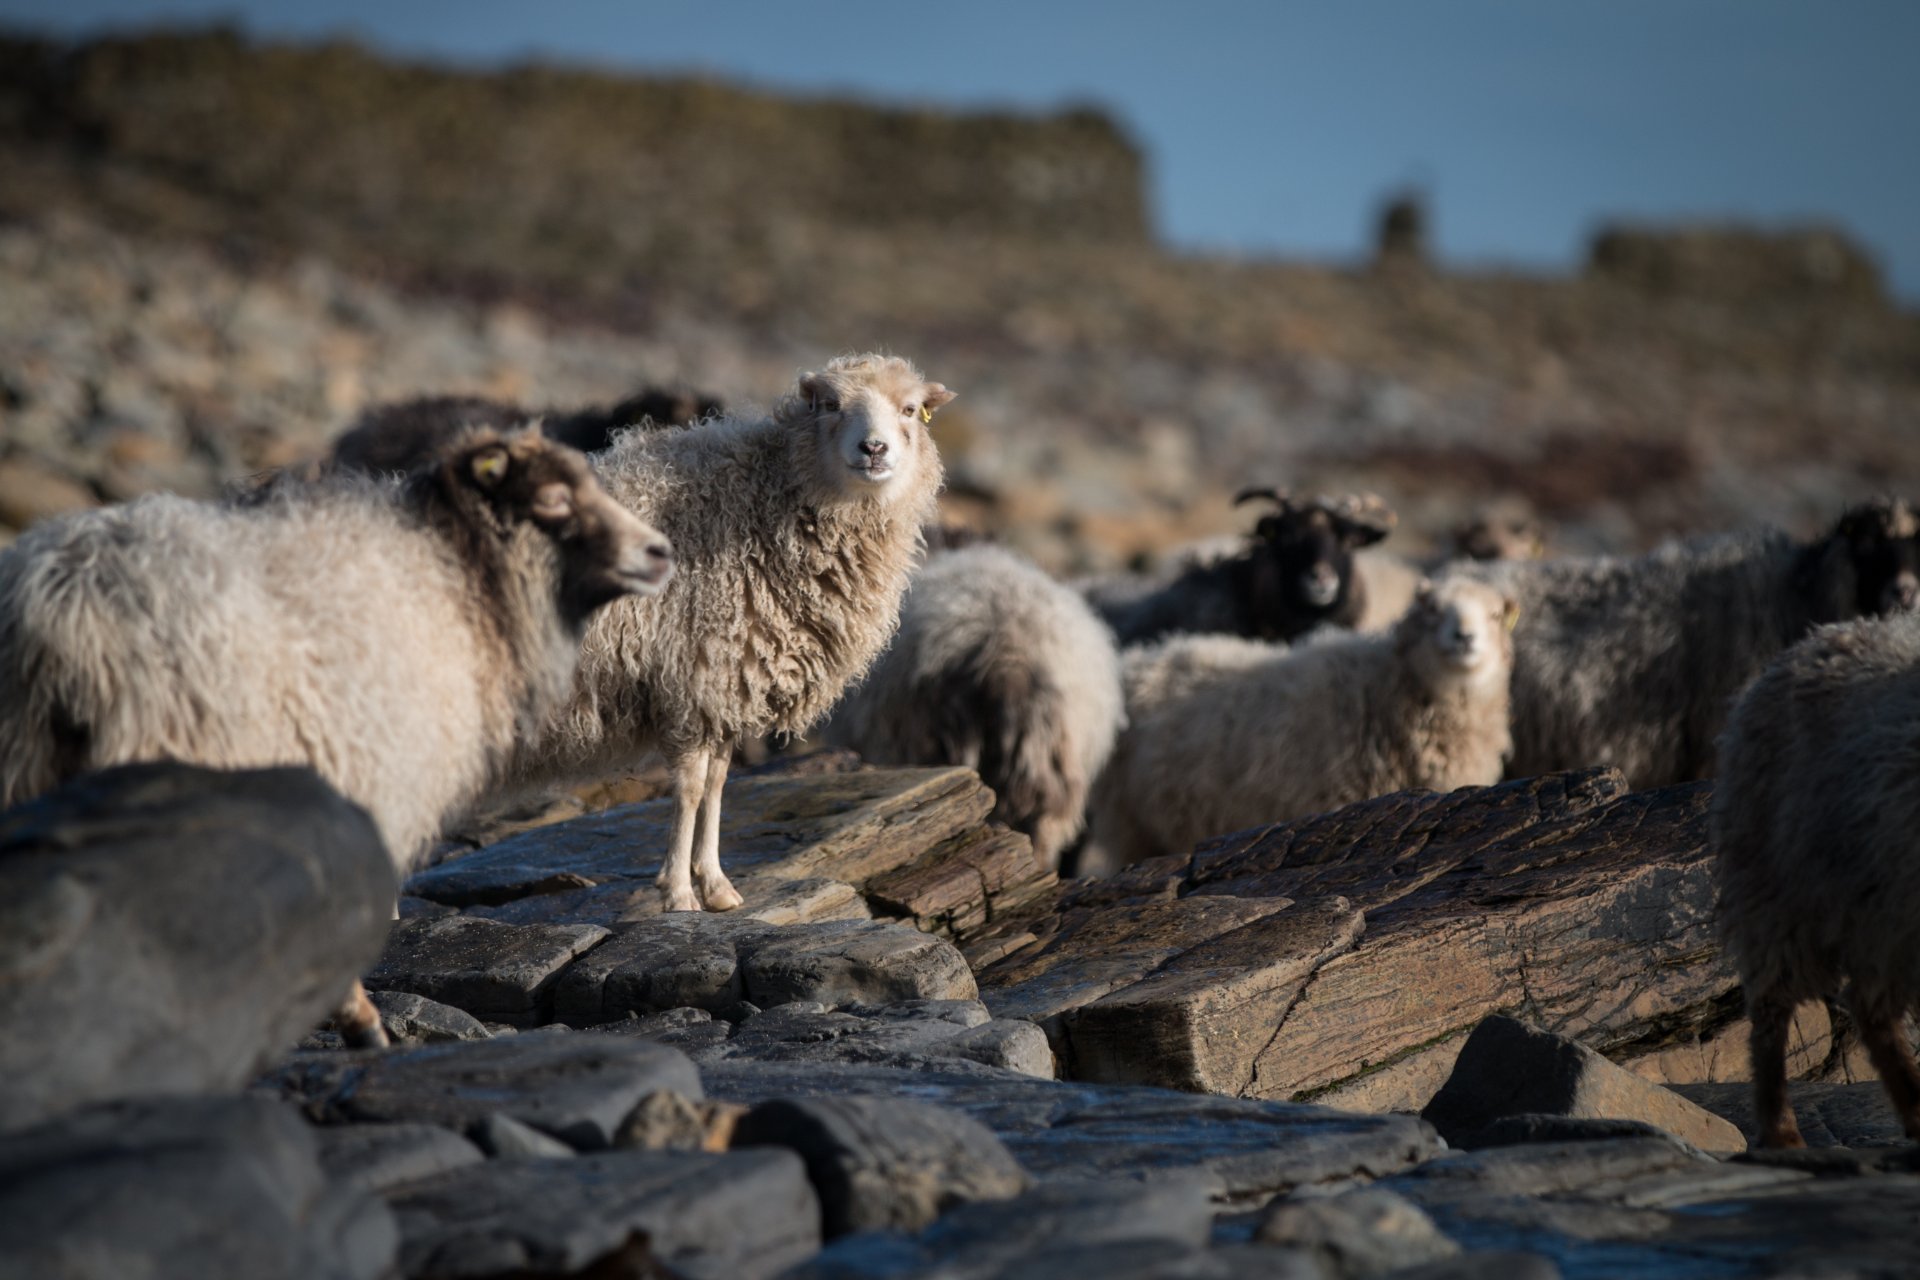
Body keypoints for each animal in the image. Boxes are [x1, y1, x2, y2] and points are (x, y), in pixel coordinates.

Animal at [509, 353, 953, 913]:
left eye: (910, 409)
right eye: (830, 404)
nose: (873, 448)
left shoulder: (725, 684)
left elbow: (718, 784)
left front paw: (715, 884)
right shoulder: (693, 677)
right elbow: (691, 788)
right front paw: (679, 893)